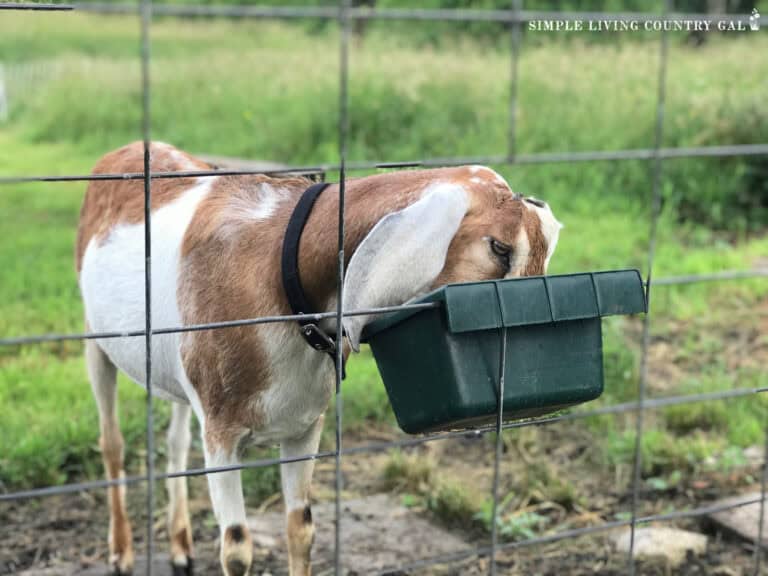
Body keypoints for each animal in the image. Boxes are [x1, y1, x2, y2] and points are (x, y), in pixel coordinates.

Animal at [76, 141, 562, 576]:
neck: (279, 269)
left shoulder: (304, 429)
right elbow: (237, 550)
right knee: (112, 442)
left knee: (175, 443)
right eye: (499, 248)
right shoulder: (222, 435)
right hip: (96, 344)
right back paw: (121, 553)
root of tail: (128, 148)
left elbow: (301, 530)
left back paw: (180, 548)